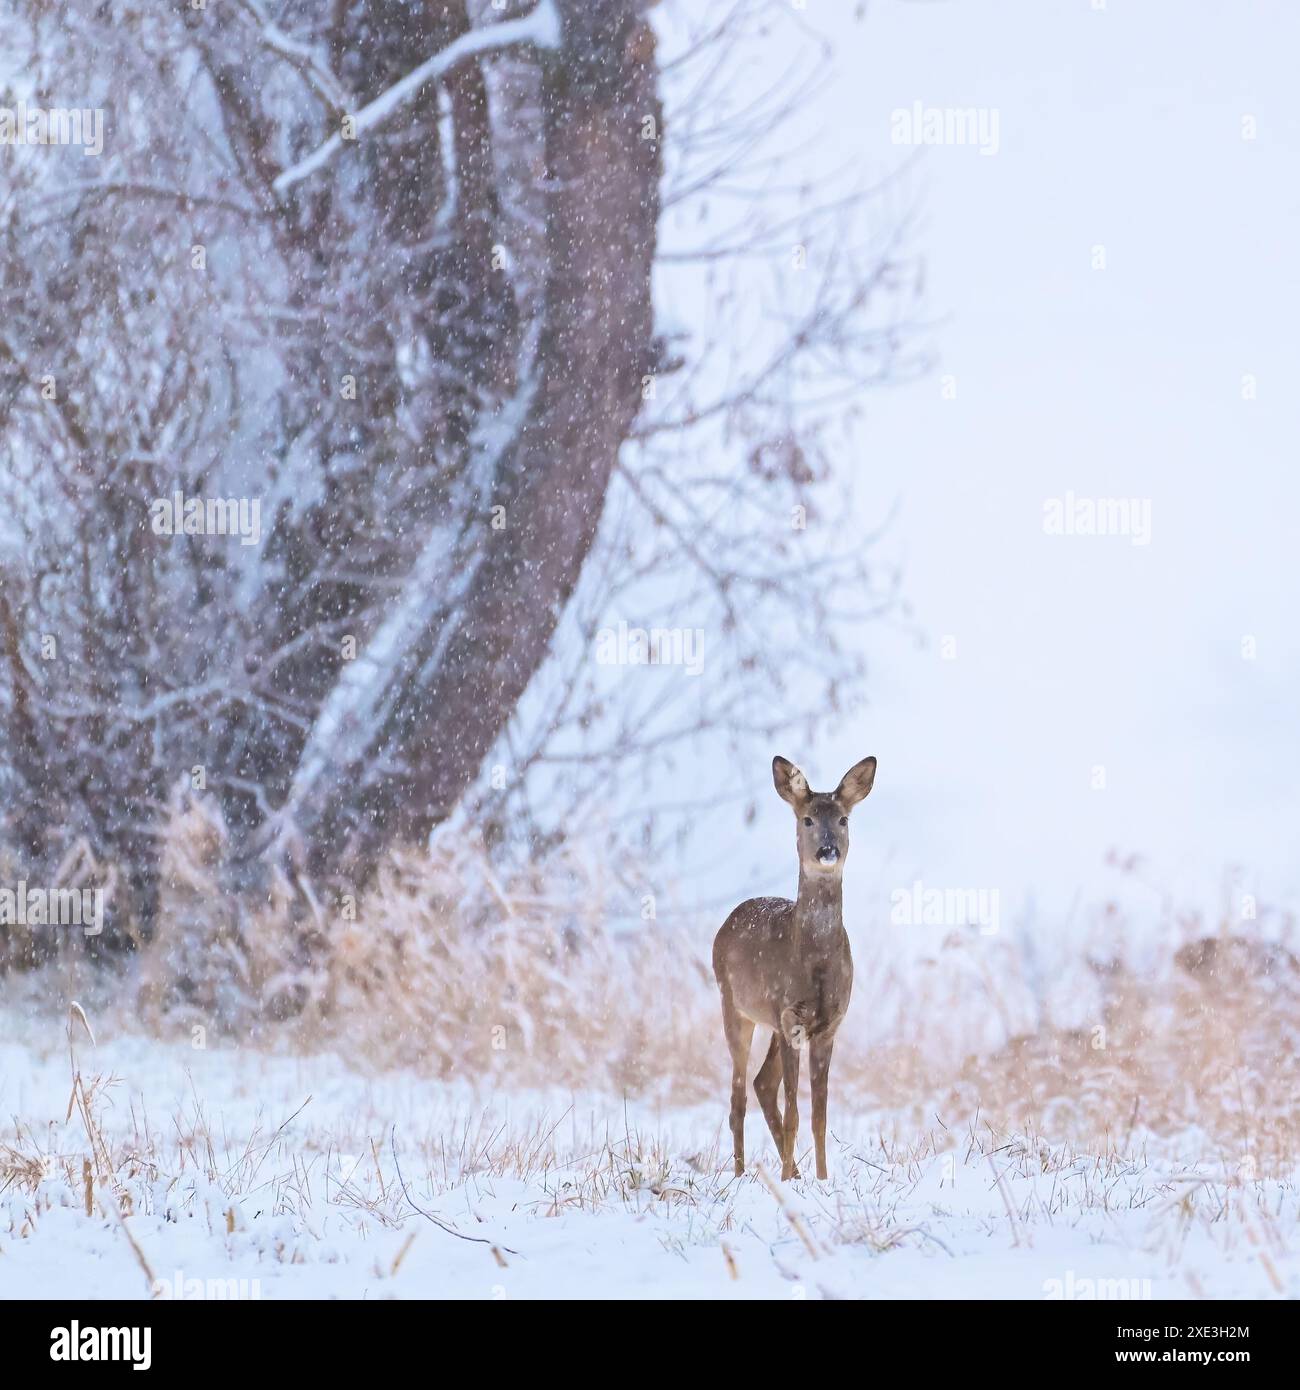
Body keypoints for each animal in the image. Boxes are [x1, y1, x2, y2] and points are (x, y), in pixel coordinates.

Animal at [712, 754, 877, 1181]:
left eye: (843, 819)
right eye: (806, 819)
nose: (827, 850)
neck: (815, 960)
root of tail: (726, 923)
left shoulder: (828, 1026)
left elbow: (819, 1115)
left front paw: (820, 1178)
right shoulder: (791, 1017)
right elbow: (795, 1115)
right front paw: (788, 1180)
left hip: (770, 1022)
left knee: (761, 1084)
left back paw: (796, 1173)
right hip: (734, 1006)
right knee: (737, 1097)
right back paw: (741, 1174)